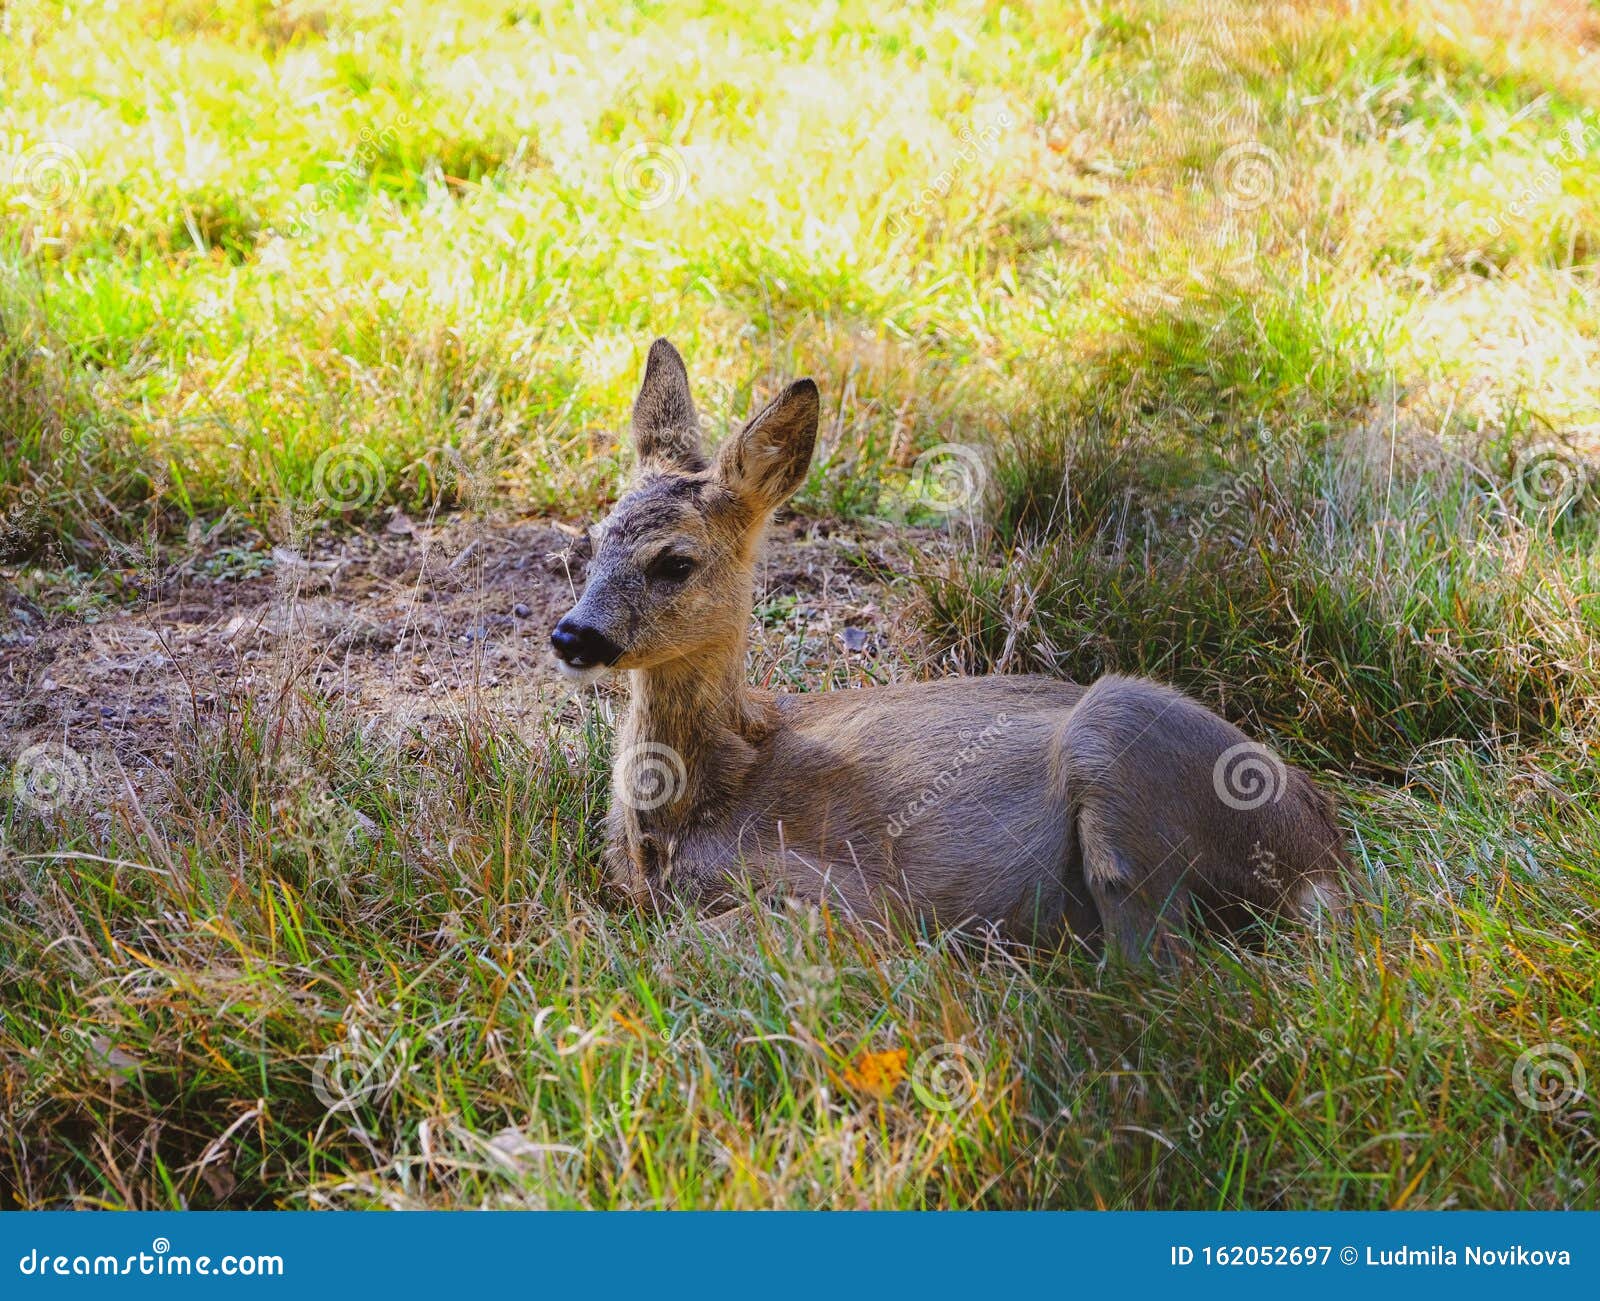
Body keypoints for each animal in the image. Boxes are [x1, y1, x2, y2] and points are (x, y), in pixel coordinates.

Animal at [550, 339, 1352, 961]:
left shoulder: (852, 899)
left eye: (675, 562)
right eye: (595, 539)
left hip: (1121, 742)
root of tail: (1324, 859)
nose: (571, 635)